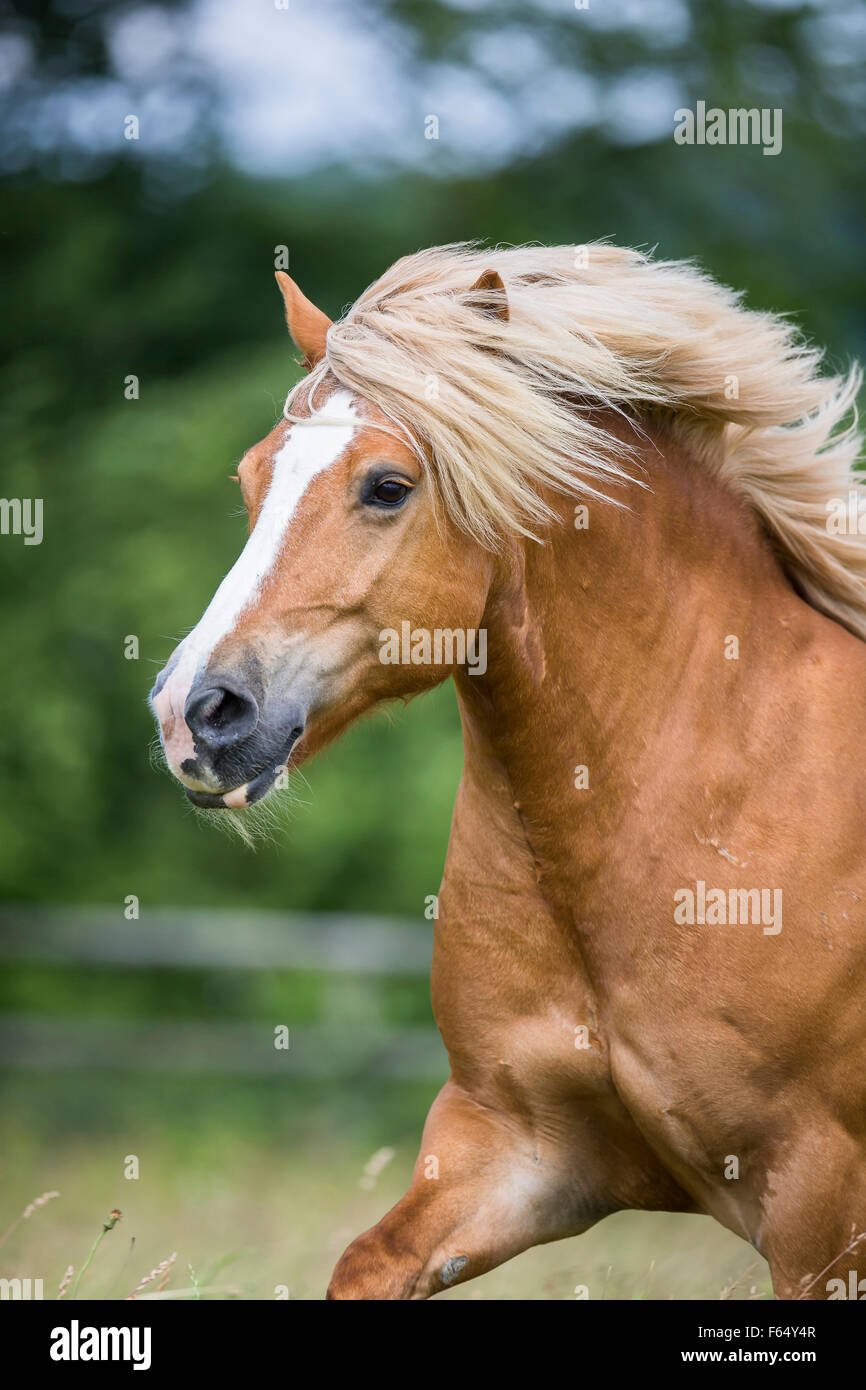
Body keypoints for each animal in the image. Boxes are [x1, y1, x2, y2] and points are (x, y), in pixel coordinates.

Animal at [151, 243, 866, 1300]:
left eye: (388, 486)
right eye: (251, 479)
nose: (195, 713)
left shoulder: (818, 1199)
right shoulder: (514, 1147)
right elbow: (369, 1265)